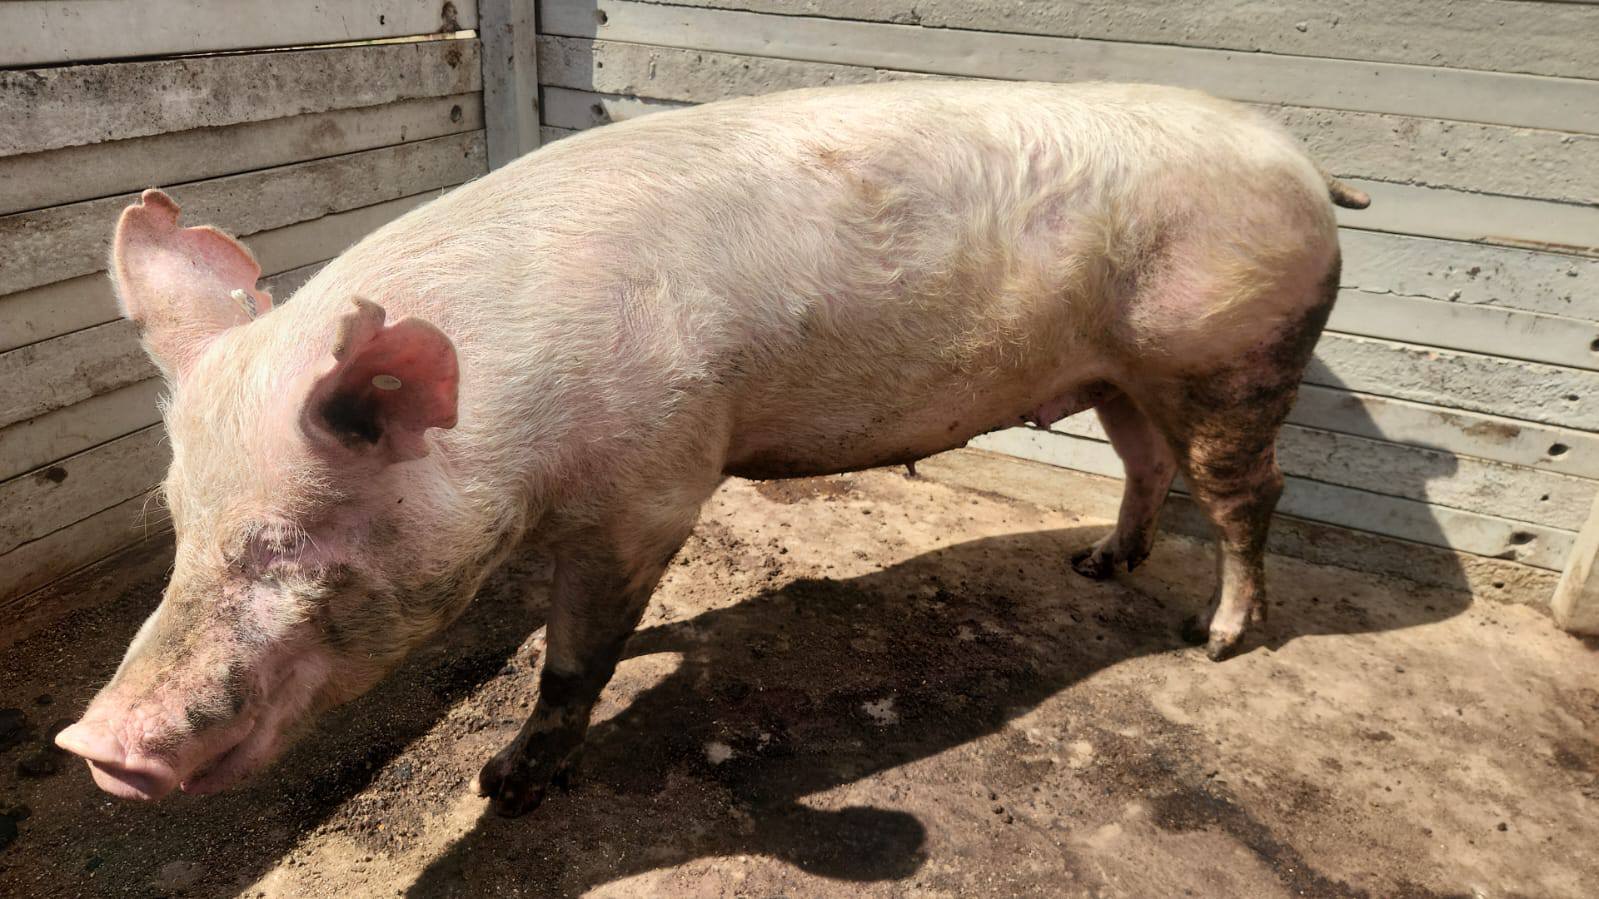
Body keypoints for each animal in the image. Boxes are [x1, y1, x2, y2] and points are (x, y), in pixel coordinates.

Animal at [56, 81, 1368, 815]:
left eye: (294, 540)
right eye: (179, 524)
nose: (96, 744)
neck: (517, 434)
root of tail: (1302, 161)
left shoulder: (656, 483)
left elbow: (576, 658)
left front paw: (507, 787)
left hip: (1237, 352)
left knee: (1249, 492)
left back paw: (1218, 639)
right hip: (1122, 368)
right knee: (1149, 462)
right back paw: (1099, 566)